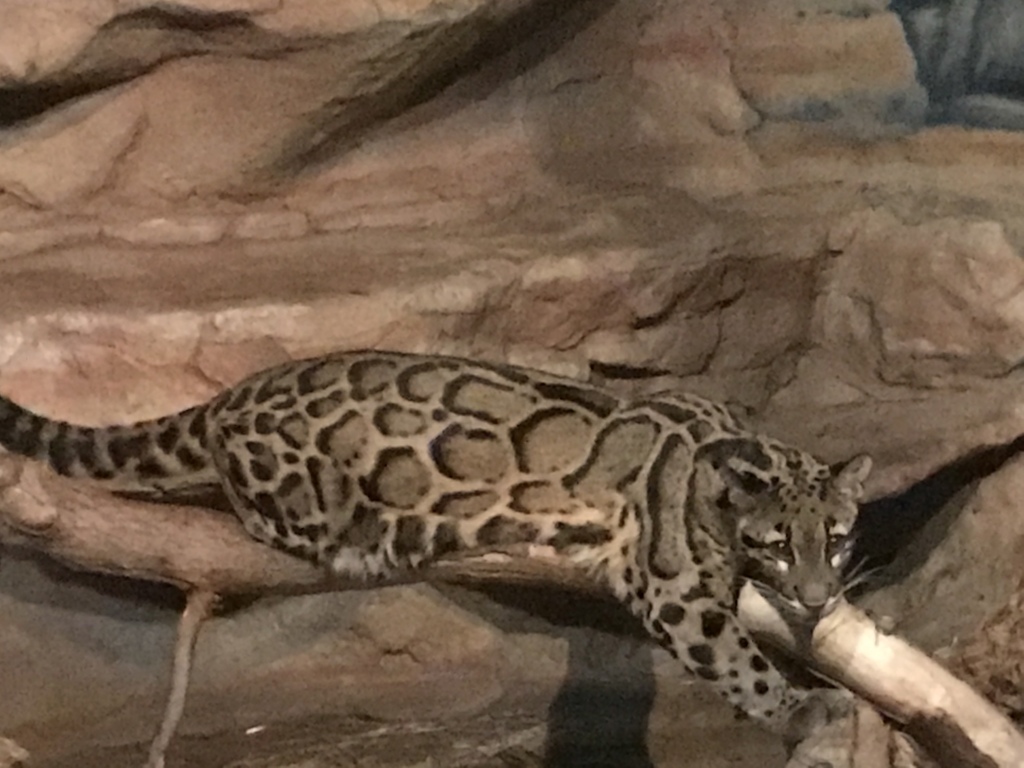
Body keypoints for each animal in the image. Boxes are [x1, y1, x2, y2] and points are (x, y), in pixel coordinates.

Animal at [0, 349, 871, 736]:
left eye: (834, 538)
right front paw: (798, 705)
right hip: (300, 494)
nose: (820, 596)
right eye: (778, 544)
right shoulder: (673, 587)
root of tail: (229, 396)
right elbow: (737, 662)